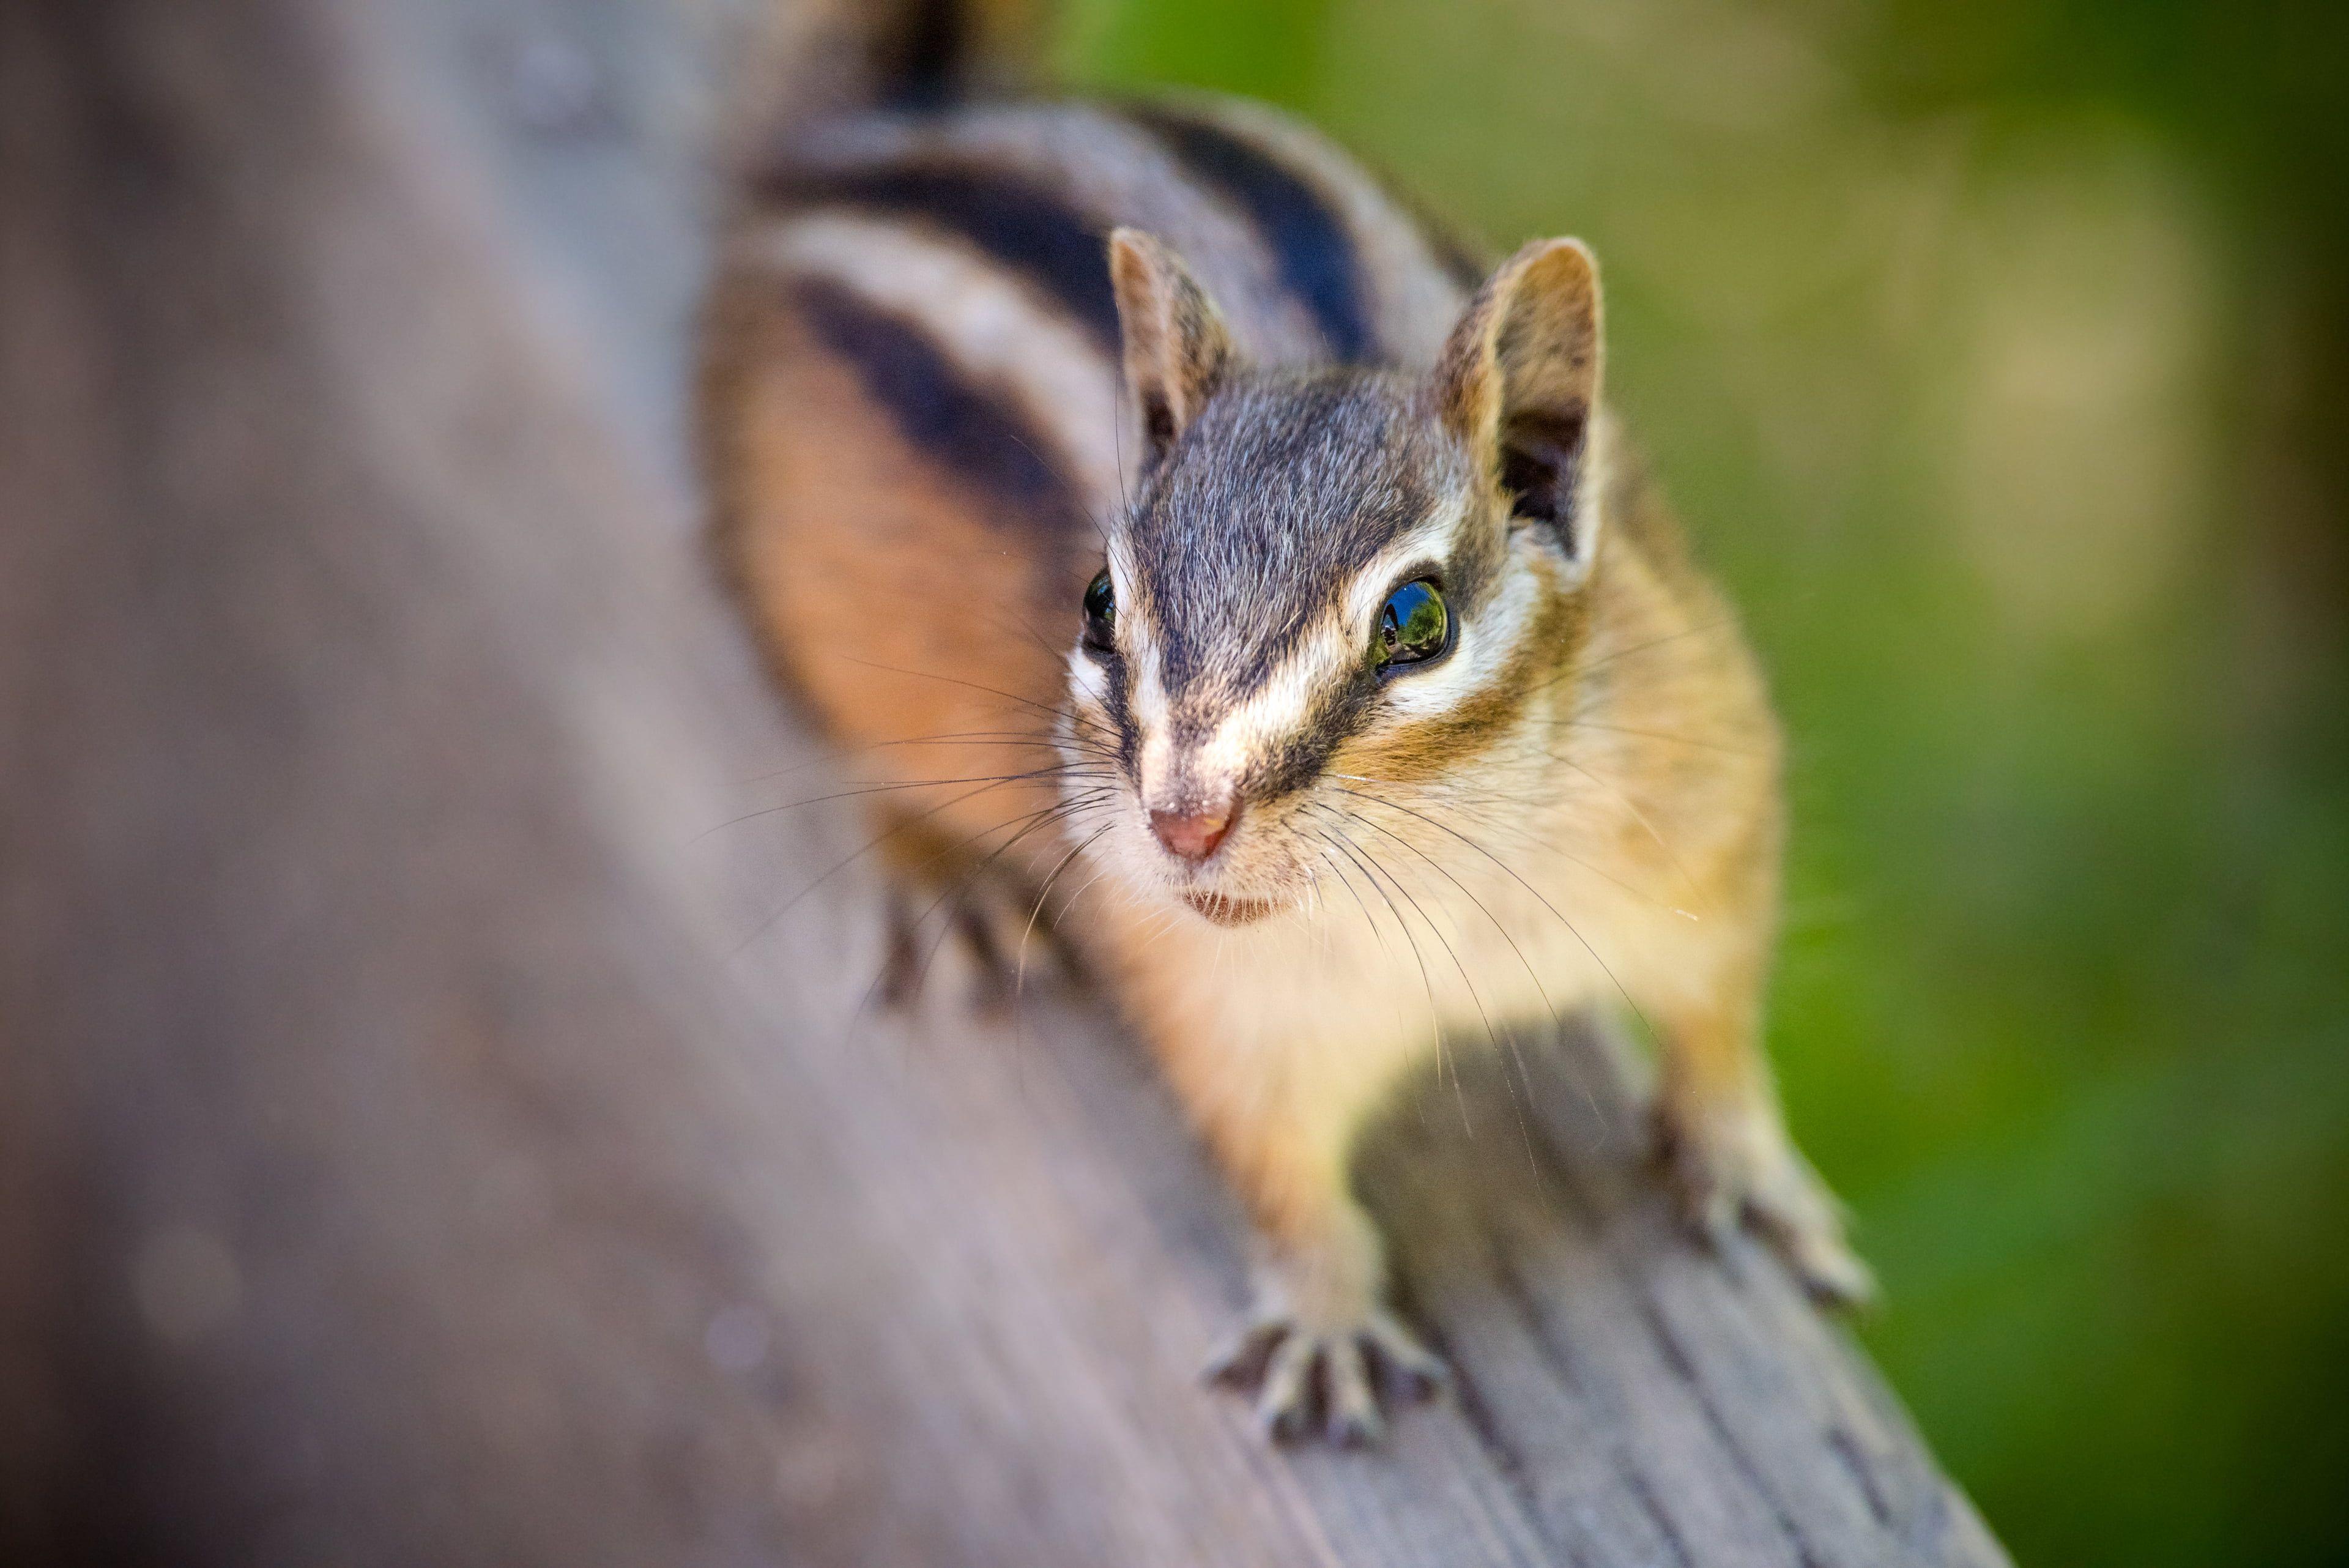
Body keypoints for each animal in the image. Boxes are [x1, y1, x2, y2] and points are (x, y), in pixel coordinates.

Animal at [699, 0, 1870, 1446]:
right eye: (1098, 602)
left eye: (1418, 617)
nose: (1182, 822)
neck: (1449, 876)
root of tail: (872, 137)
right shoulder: (1220, 1000)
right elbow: (1276, 1165)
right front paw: (1321, 1315)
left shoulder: (1713, 811)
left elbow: (1719, 1019)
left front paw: (1749, 1166)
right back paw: (937, 882)